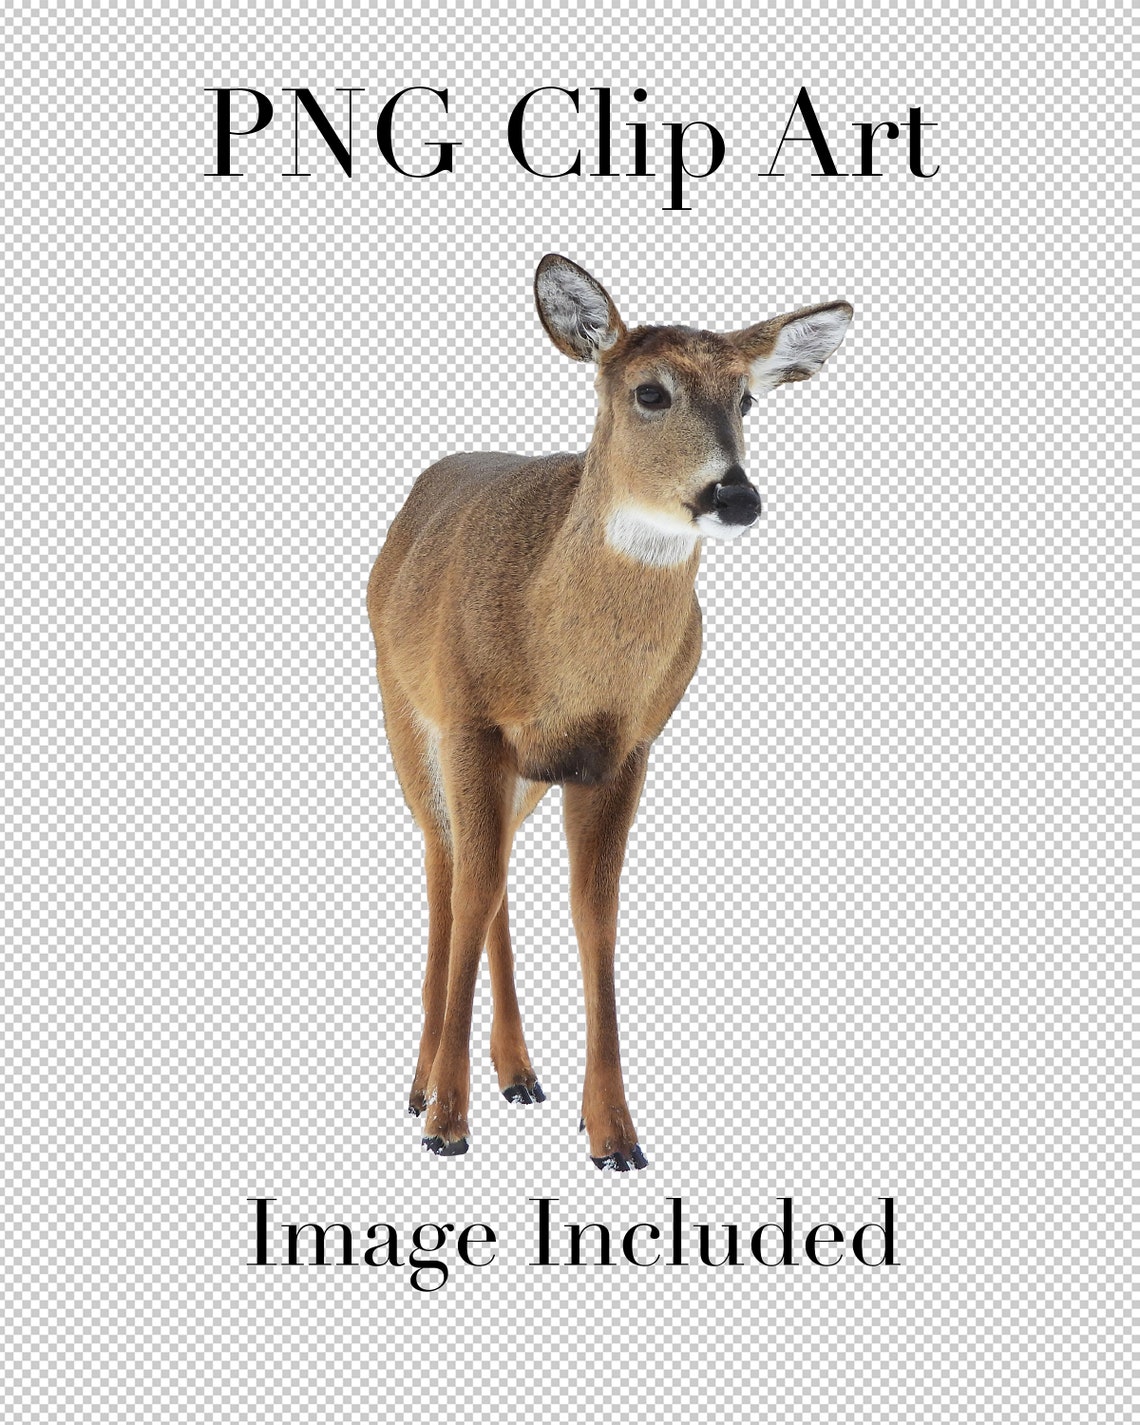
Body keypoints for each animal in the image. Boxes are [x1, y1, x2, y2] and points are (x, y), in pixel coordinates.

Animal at [367, 255, 852, 1170]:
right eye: (649, 391)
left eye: (748, 400)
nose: (735, 496)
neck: (568, 664)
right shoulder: (471, 721)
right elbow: (473, 886)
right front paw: (446, 1121)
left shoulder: (625, 748)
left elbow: (596, 913)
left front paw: (615, 1133)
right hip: (404, 713)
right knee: (448, 866)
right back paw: (423, 1084)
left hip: (518, 772)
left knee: (491, 875)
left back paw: (519, 1073)